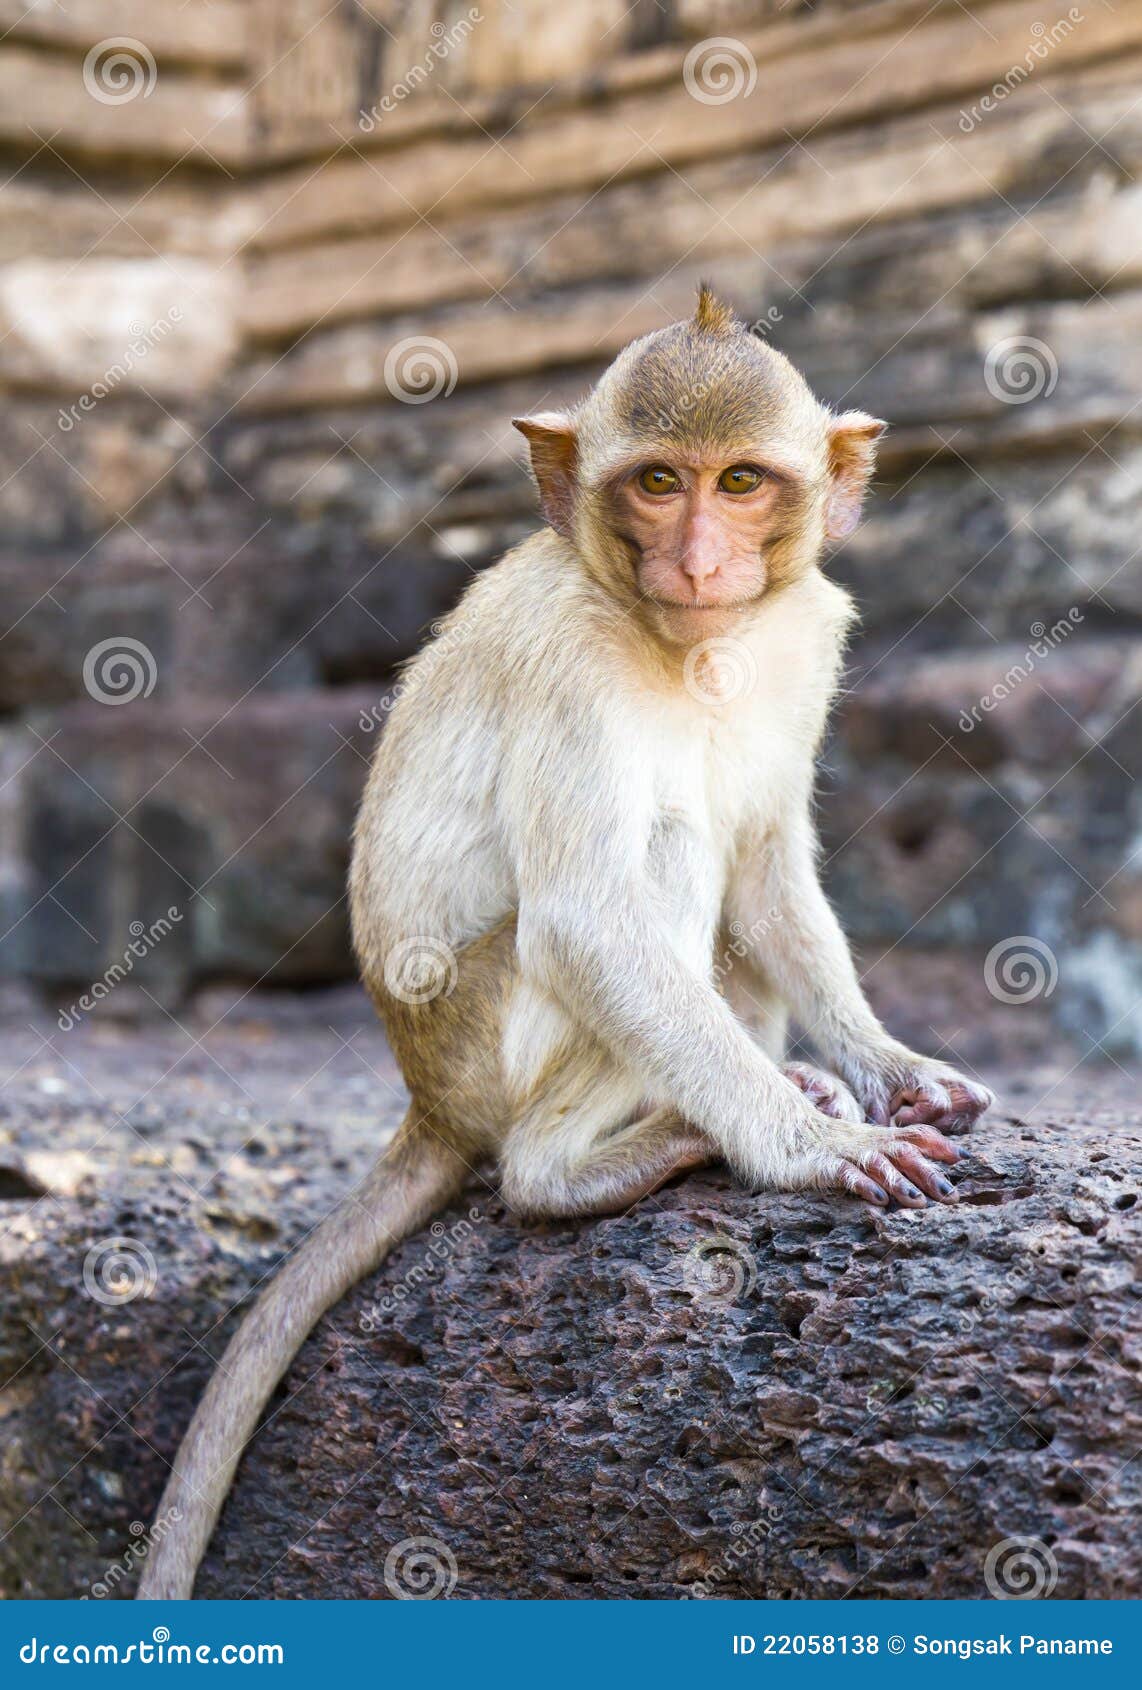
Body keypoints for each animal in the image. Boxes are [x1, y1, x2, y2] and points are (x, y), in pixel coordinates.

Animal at [137, 286, 992, 1600]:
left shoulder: (802, 639)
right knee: (659, 863)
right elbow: (592, 913)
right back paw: (595, 1160)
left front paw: (890, 1068)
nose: (696, 557)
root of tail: (429, 1099)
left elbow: (765, 865)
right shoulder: (569, 662)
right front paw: (808, 1149)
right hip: (490, 1032)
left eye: (739, 480)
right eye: (656, 481)